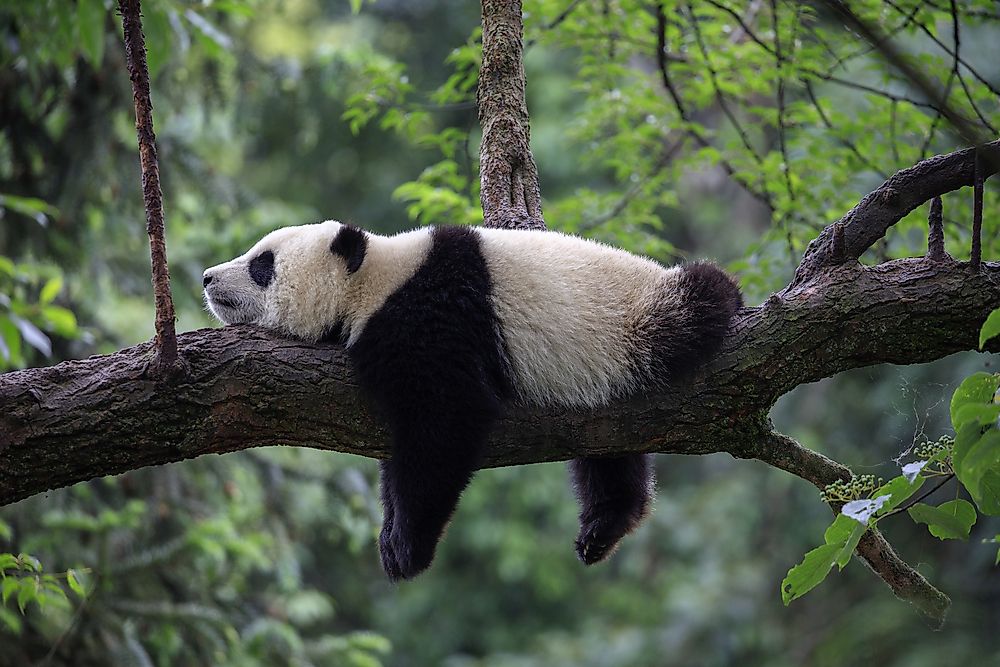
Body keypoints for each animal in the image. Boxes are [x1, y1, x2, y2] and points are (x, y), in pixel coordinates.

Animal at [203, 221, 742, 581]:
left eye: (262, 265)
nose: (207, 277)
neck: (375, 280)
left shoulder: (432, 317)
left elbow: (445, 423)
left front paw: (407, 547)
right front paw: (390, 533)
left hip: (638, 323)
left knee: (700, 300)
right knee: (608, 453)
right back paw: (603, 527)